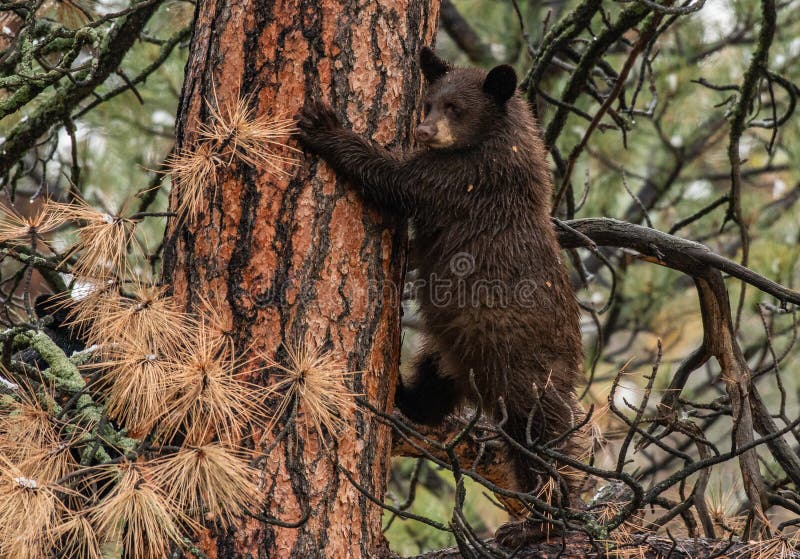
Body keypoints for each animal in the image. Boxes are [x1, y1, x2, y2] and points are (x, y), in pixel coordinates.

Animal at [296, 46, 585, 547]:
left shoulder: (464, 179)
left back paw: (538, 523)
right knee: (434, 393)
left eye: (455, 108)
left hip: (526, 371)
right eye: (429, 102)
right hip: (452, 351)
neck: (499, 144)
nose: (424, 131)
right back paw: (399, 388)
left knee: (539, 444)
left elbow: (396, 179)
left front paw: (323, 125)